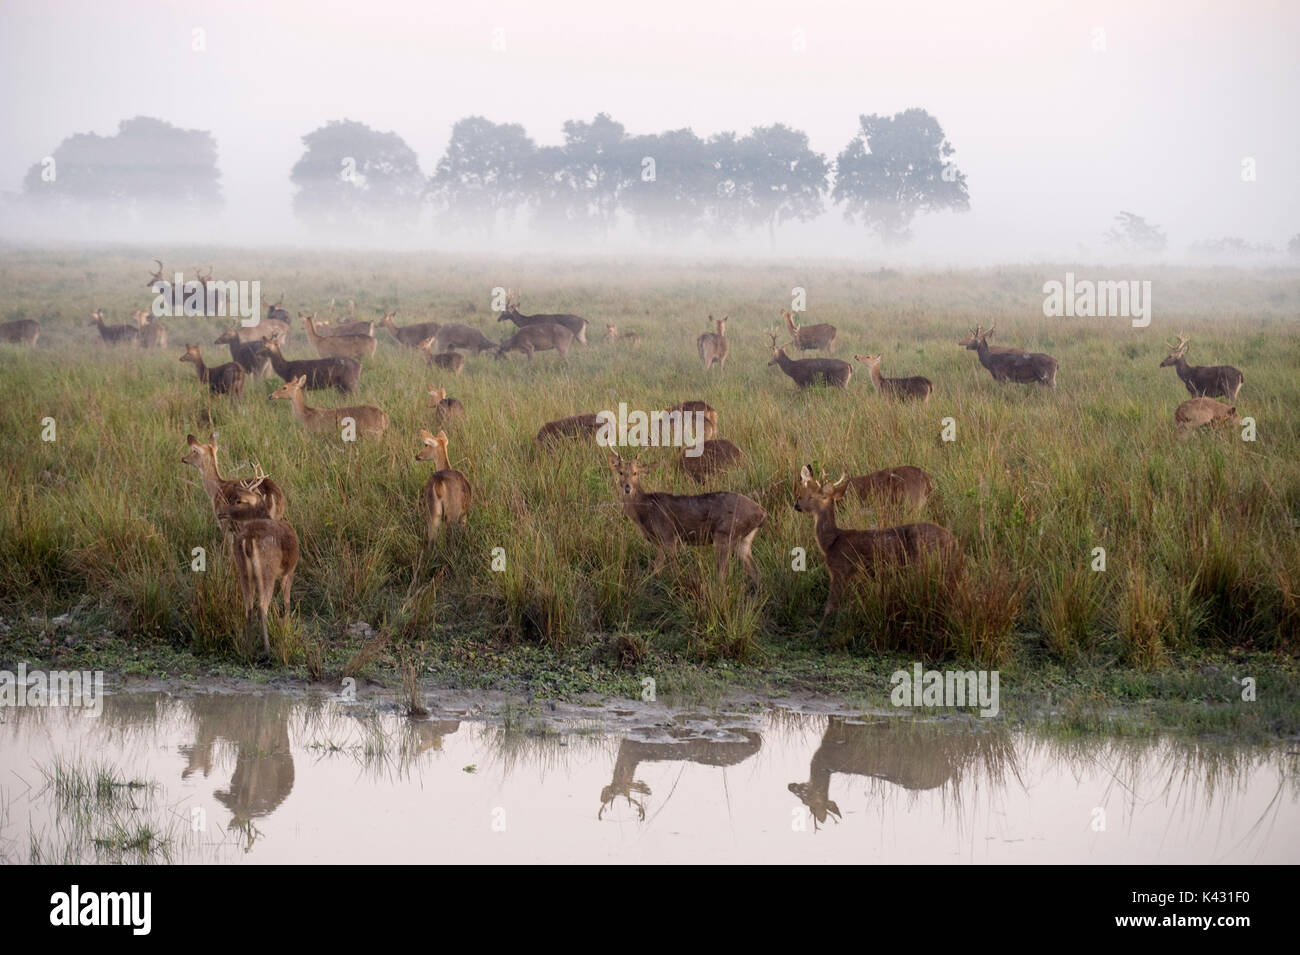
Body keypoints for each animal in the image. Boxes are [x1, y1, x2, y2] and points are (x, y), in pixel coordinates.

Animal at [609, 452, 766, 586]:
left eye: (635, 472)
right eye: (620, 472)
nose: (627, 488)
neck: (646, 511)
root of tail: (762, 513)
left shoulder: (669, 535)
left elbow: (675, 569)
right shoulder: (657, 542)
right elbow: (656, 571)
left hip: (725, 534)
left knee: (723, 575)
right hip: (744, 540)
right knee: (755, 572)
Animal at [793, 467, 958, 635]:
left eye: (811, 496)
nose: (796, 504)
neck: (831, 541)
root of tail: (952, 539)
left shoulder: (841, 569)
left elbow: (830, 606)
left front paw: (817, 633)